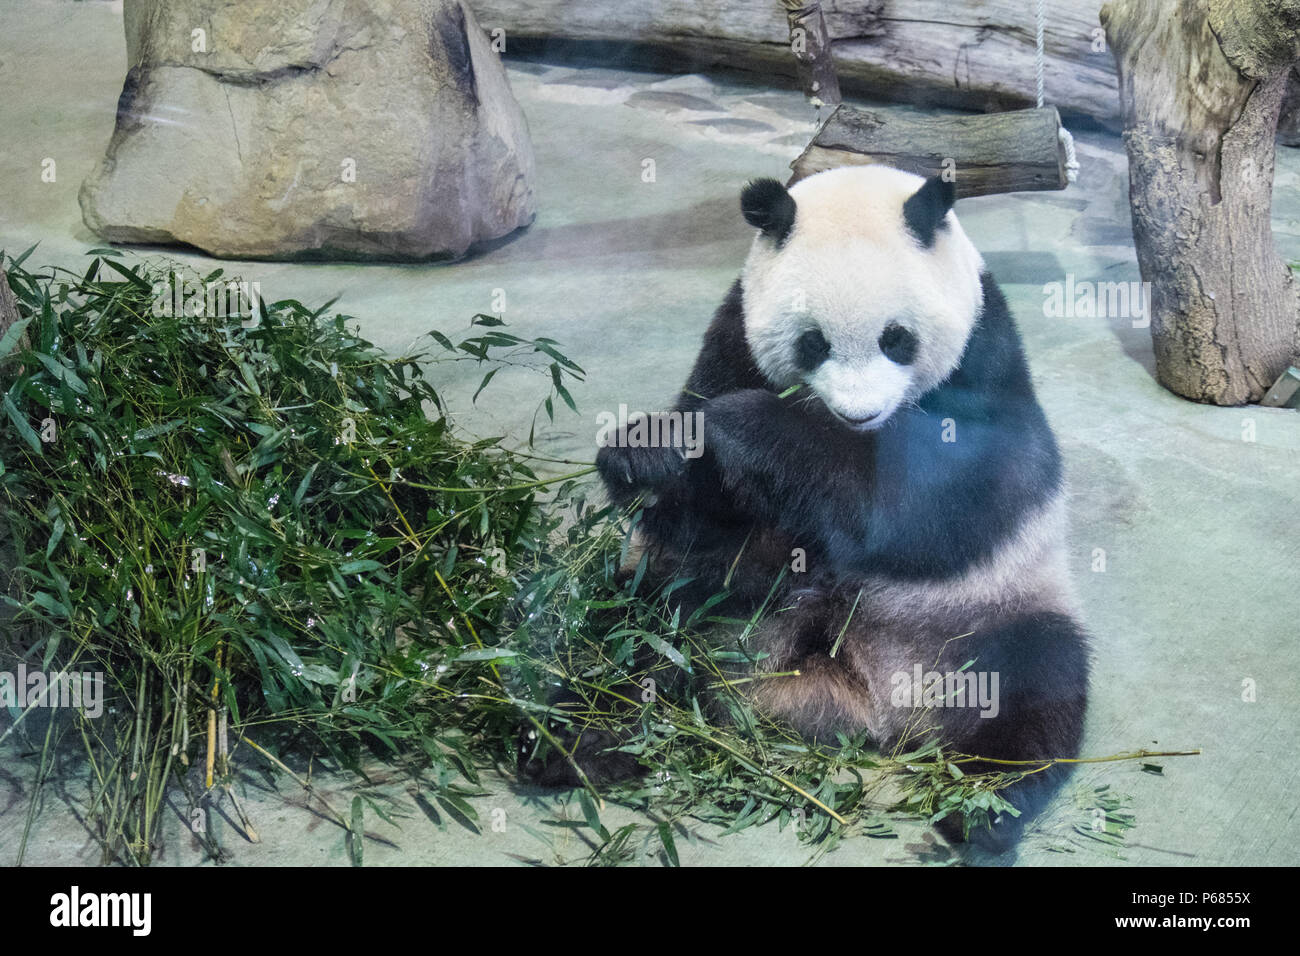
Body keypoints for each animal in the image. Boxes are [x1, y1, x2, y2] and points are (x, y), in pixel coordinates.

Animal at [526, 165, 1090, 849]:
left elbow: (953, 488)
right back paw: (572, 738)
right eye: (813, 343)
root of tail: (876, 705)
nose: (859, 413)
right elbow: (706, 516)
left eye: (897, 339)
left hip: (989, 614)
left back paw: (980, 812)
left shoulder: (987, 356)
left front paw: (741, 427)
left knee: (1037, 692)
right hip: (713, 610)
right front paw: (646, 453)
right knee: (628, 635)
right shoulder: (733, 341)